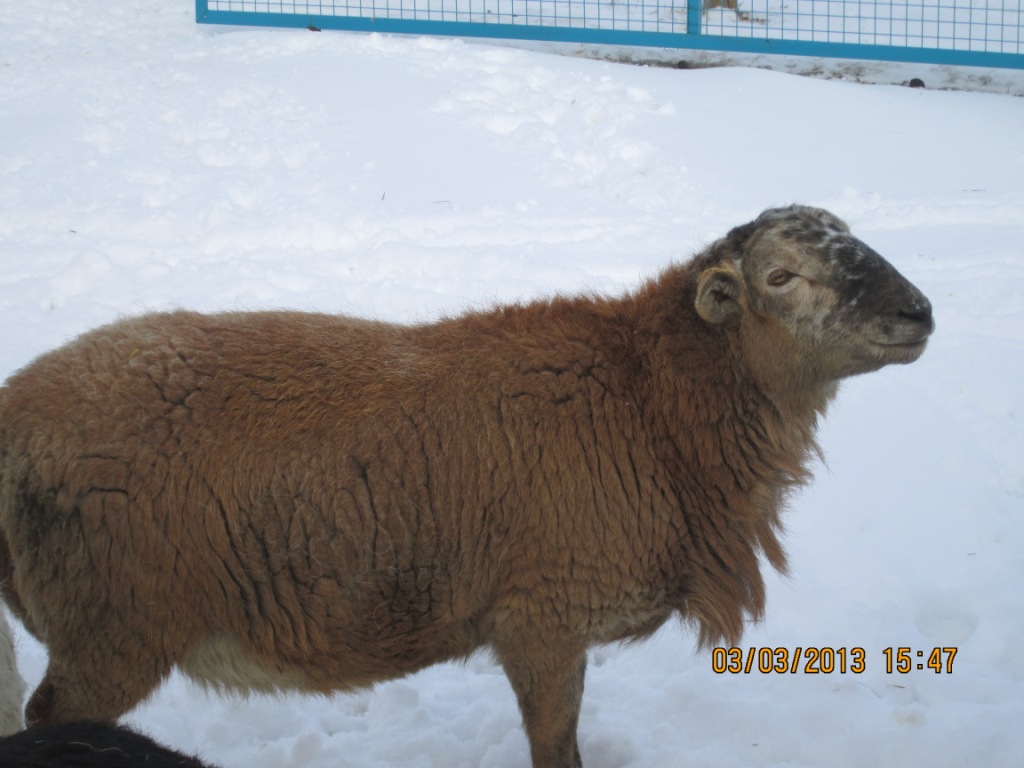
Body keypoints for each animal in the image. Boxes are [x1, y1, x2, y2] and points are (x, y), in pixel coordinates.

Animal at [0, 205, 933, 768]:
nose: (917, 313)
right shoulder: (543, 616)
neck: (651, 405)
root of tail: (12, 416)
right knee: (47, 716)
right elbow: (556, 747)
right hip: (112, 626)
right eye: (781, 279)